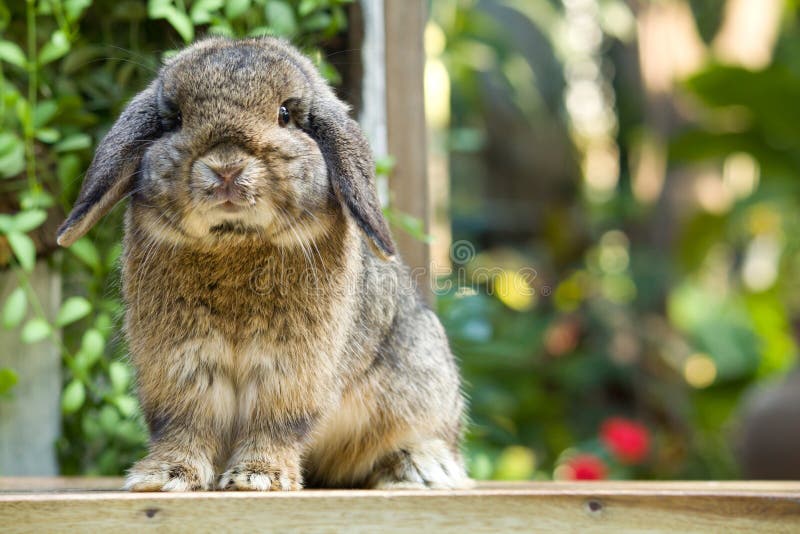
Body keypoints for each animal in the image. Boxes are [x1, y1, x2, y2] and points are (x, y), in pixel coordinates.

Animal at [56, 37, 469, 491]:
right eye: (176, 118)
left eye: (285, 114)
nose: (226, 168)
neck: (236, 242)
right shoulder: (180, 365)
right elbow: (185, 422)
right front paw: (164, 477)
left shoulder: (291, 369)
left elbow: (275, 423)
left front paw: (258, 477)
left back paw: (419, 468)